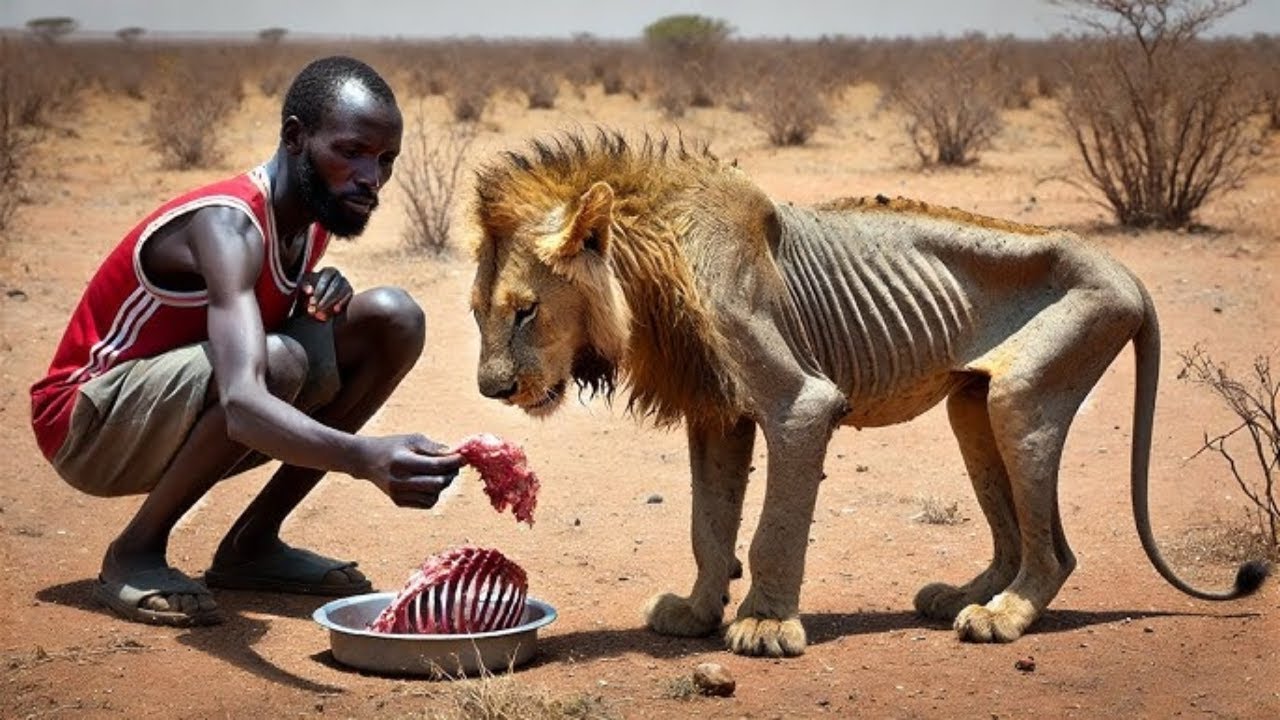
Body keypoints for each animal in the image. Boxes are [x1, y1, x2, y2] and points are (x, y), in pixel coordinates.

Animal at [467, 130, 1269, 658]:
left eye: (526, 311)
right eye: (478, 312)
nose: (493, 388)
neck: (649, 258)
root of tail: (1127, 270)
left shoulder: (801, 403)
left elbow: (771, 529)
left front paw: (765, 625)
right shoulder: (717, 411)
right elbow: (707, 524)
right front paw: (695, 612)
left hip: (1025, 394)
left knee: (1057, 552)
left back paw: (1001, 616)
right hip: (970, 406)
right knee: (1007, 522)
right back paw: (965, 595)